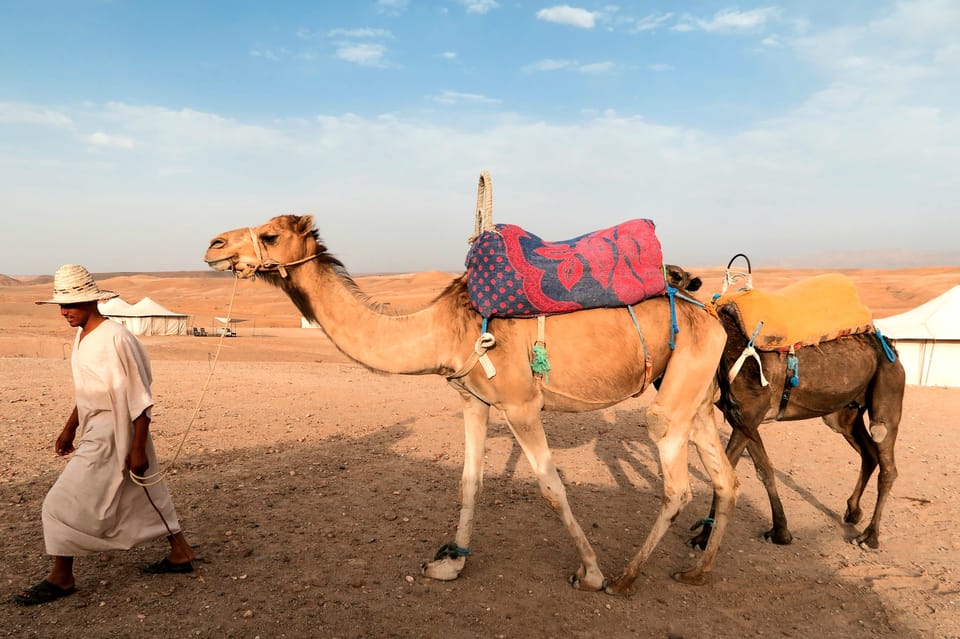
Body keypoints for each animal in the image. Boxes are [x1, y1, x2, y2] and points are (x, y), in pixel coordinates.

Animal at [204, 214, 740, 595]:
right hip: (695, 393)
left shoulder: (521, 404)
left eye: (270, 235)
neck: (444, 328)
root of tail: (711, 313)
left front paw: (589, 572)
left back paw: (626, 578)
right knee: (725, 479)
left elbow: (552, 487)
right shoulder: (472, 400)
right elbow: (468, 480)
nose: (214, 246)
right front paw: (450, 562)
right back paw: (698, 572)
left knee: (676, 480)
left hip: (676, 392)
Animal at [664, 265, 904, 550]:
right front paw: (780, 531)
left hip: (888, 389)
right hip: (845, 412)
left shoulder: (749, 413)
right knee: (868, 453)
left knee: (887, 460)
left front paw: (704, 537)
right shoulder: (743, 418)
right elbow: (763, 469)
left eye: (674, 276)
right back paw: (853, 512)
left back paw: (870, 536)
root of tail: (890, 347)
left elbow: (727, 472)